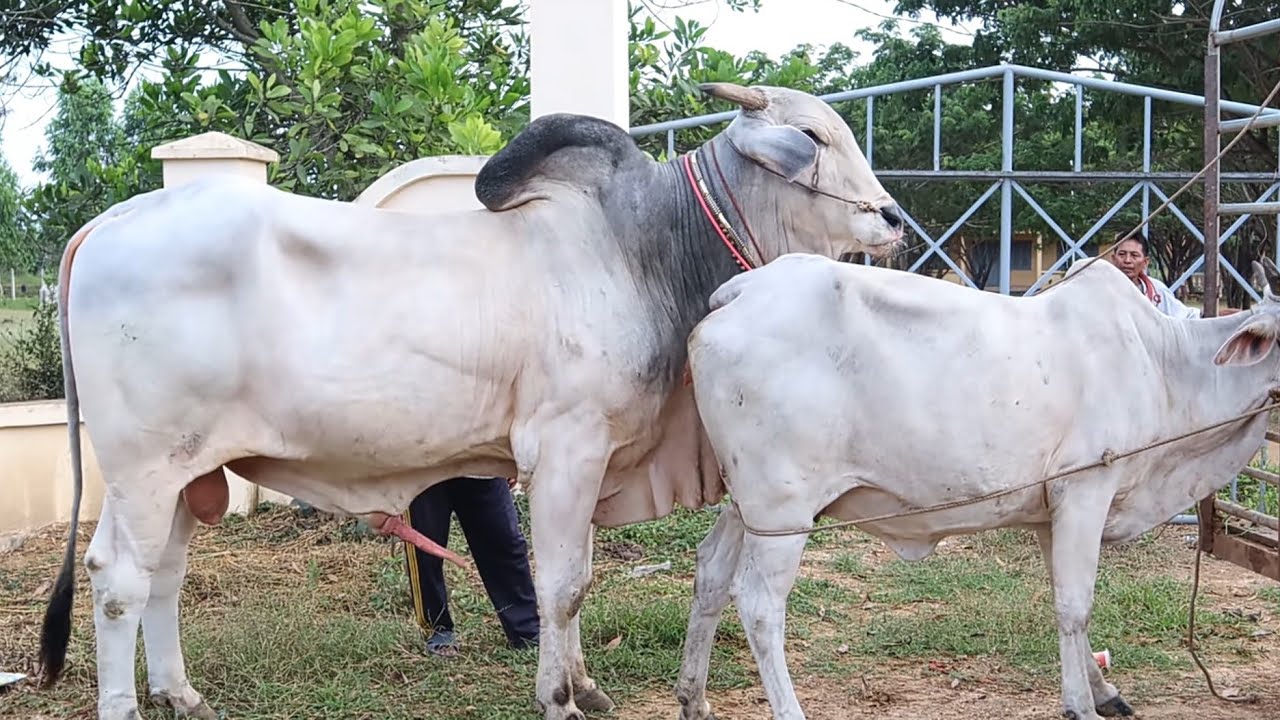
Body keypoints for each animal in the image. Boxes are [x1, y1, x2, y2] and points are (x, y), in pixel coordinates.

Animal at [36, 82, 905, 720]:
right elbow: (563, 584)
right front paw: (558, 698)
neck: (641, 249)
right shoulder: (568, 447)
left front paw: (585, 684)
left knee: (165, 573)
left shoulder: (589, 461)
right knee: (118, 580)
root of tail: (109, 221)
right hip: (143, 467)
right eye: (816, 137)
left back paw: (181, 692)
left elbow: (572, 581)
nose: (894, 217)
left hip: (189, 470)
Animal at [676, 251, 1280, 720]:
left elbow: (1067, 602)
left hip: (747, 505)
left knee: (711, 573)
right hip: (783, 508)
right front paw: (1080, 704)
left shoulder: (1052, 513)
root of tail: (742, 292)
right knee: (759, 605)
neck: (1163, 364)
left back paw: (693, 697)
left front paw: (1103, 690)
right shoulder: (1087, 490)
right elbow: (1076, 605)